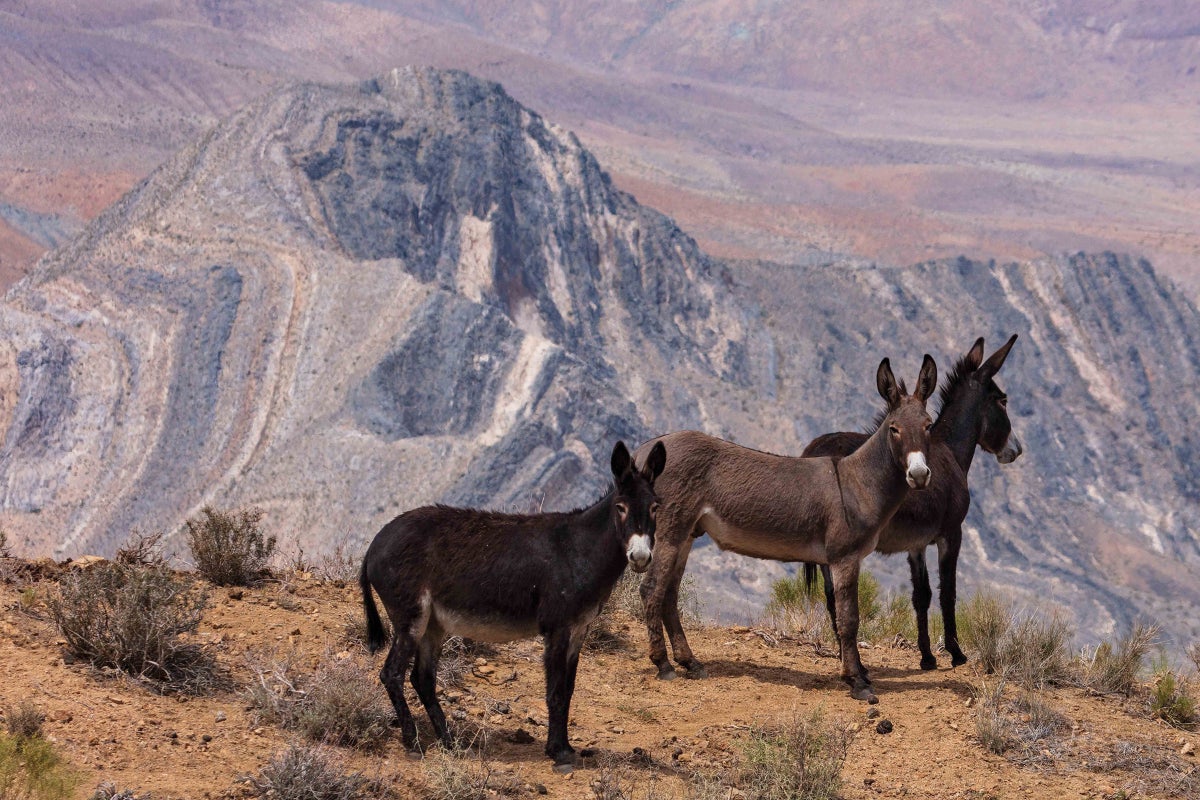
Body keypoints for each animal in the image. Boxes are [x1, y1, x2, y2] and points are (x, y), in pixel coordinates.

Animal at [359, 440, 667, 770]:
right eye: (620, 508)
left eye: (655, 507)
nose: (640, 558)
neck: (578, 549)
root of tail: (376, 542)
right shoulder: (557, 628)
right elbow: (555, 691)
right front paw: (557, 753)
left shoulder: (579, 630)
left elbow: (568, 690)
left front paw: (566, 747)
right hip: (410, 617)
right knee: (392, 673)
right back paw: (413, 742)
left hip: (433, 624)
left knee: (422, 678)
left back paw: (451, 743)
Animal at [634, 355, 937, 703]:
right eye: (894, 429)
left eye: (929, 425)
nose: (919, 475)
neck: (857, 482)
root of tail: (644, 449)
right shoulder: (844, 557)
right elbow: (848, 619)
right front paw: (858, 683)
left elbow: (841, 616)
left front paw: (857, 674)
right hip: (669, 531)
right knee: (651, 589)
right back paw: (663, 664)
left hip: (686, 533)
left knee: (669, 593)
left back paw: (690, 662)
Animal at [801, 335, 1021, 670]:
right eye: (1003, 401)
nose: (1016, 450)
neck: (949, 450)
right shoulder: (951, 534)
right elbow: (948, 592)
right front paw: (956, 653)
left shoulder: (915, 545)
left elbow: (922, 595)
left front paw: (927, 656)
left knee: (830, 595)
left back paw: (842, 654)